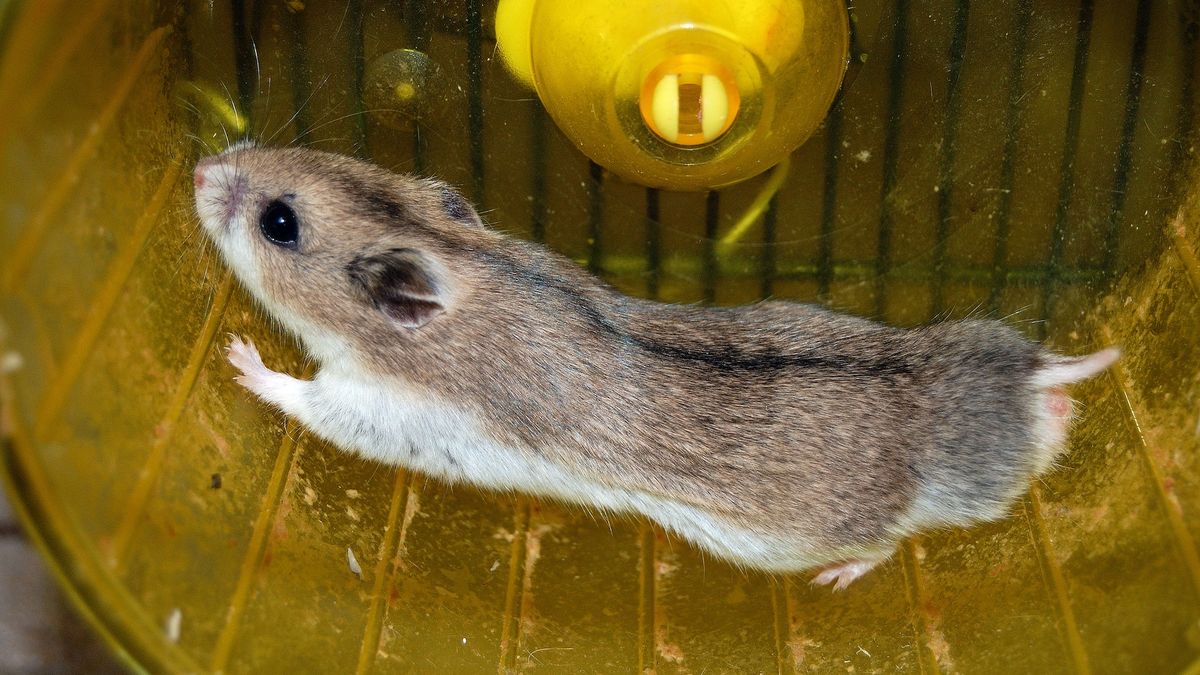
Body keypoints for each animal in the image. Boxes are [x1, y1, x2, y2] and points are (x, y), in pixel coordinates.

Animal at [193, 144, 1119, 589]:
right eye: (334, 160)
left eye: (280, 223)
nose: (200, 165)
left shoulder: (387, 412)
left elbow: (309, 398)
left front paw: (240, 358)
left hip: (796, 540)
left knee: (890, 544)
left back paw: (839, 579)